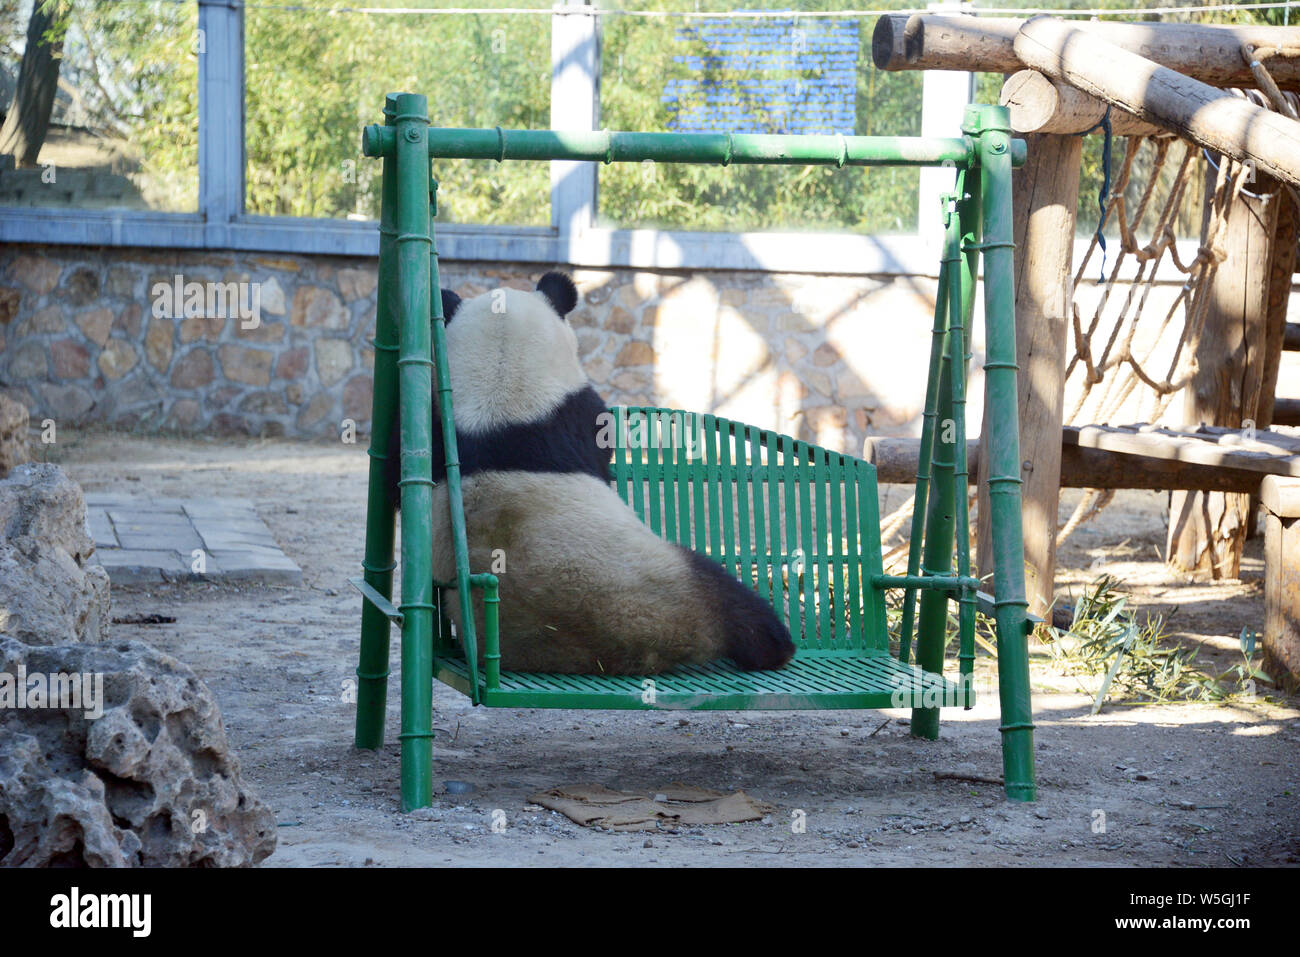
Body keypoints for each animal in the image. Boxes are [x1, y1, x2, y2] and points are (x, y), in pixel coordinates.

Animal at [385, 271, 796, 675]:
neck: (500, 388)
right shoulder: (580, 413)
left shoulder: (434, 425)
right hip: (673, 581)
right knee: (736, 607)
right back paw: (774, 645)